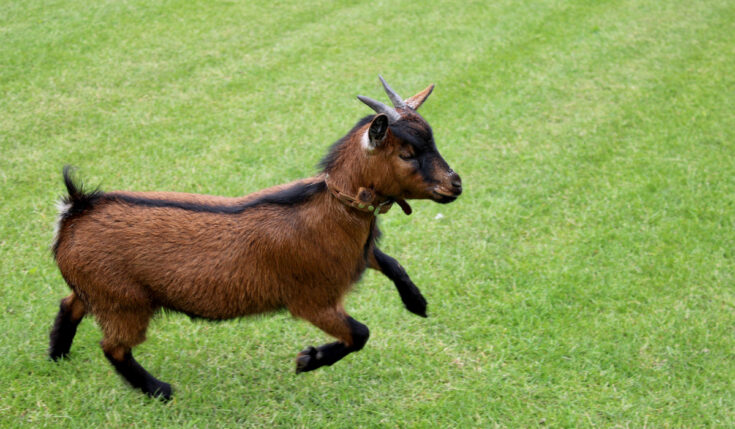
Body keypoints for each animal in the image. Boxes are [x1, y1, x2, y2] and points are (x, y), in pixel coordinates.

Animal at [49, 76, 462, 400]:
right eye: (407, 153)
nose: (455, 184)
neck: (327, 209)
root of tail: (75, 211)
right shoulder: (312, 301)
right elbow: (360, 333)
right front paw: (308, 360)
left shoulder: (360, 256)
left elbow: (391, 262)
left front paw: (417, 304)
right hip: (125, 302)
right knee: (113, 347)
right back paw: (159, 390)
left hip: (100, 292)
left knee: (70, 304)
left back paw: (57, 356)